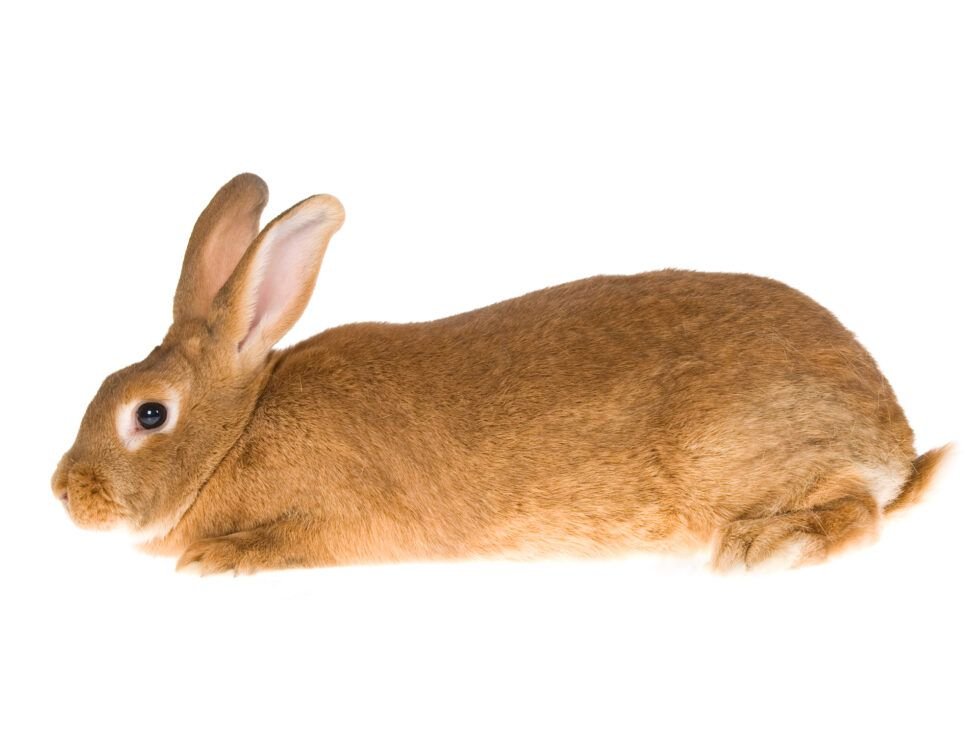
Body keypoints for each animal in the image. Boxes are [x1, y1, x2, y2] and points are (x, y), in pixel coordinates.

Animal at [51, 173, 949, 575]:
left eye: (149, 415)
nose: (64, 490)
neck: (236, 432)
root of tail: (891, 436)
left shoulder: (341, 519)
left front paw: (217, 560)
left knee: (860, 511)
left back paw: (767, 547)